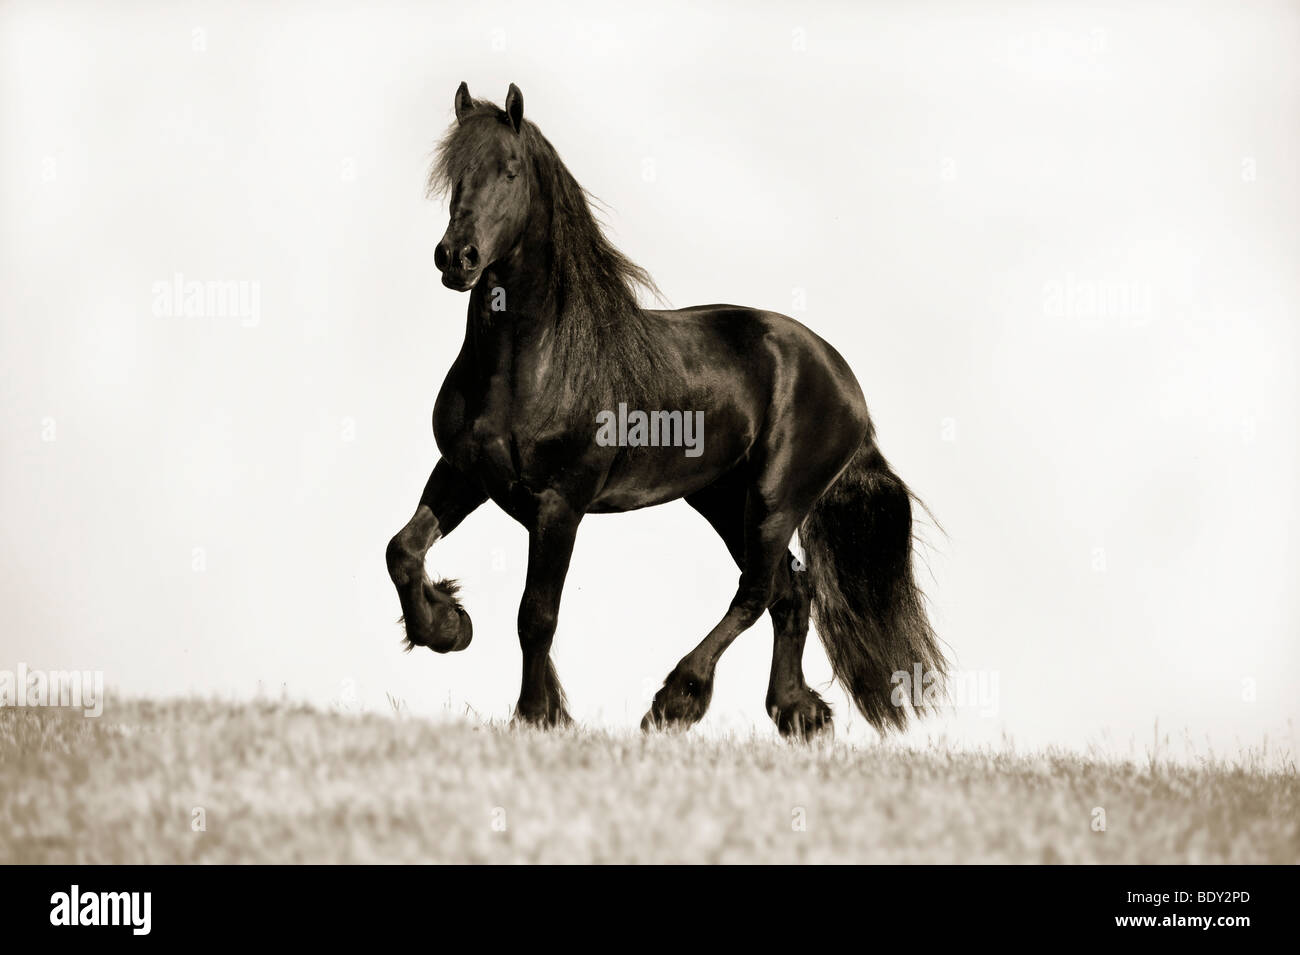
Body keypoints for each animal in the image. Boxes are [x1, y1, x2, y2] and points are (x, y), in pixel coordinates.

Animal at [385, 82, 946, 738]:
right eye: (453, 173)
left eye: (510, 170)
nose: (457, 258)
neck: (533, 362)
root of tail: (838, 372)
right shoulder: (465, 473)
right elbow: (403, 551)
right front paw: (448, 626)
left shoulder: (560, 504)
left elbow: (537, 615)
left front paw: (535, 716)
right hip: (724, 498)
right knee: (791, 593)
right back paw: (795, 713)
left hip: (775, 500)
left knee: (757, 592)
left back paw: (677, 699)